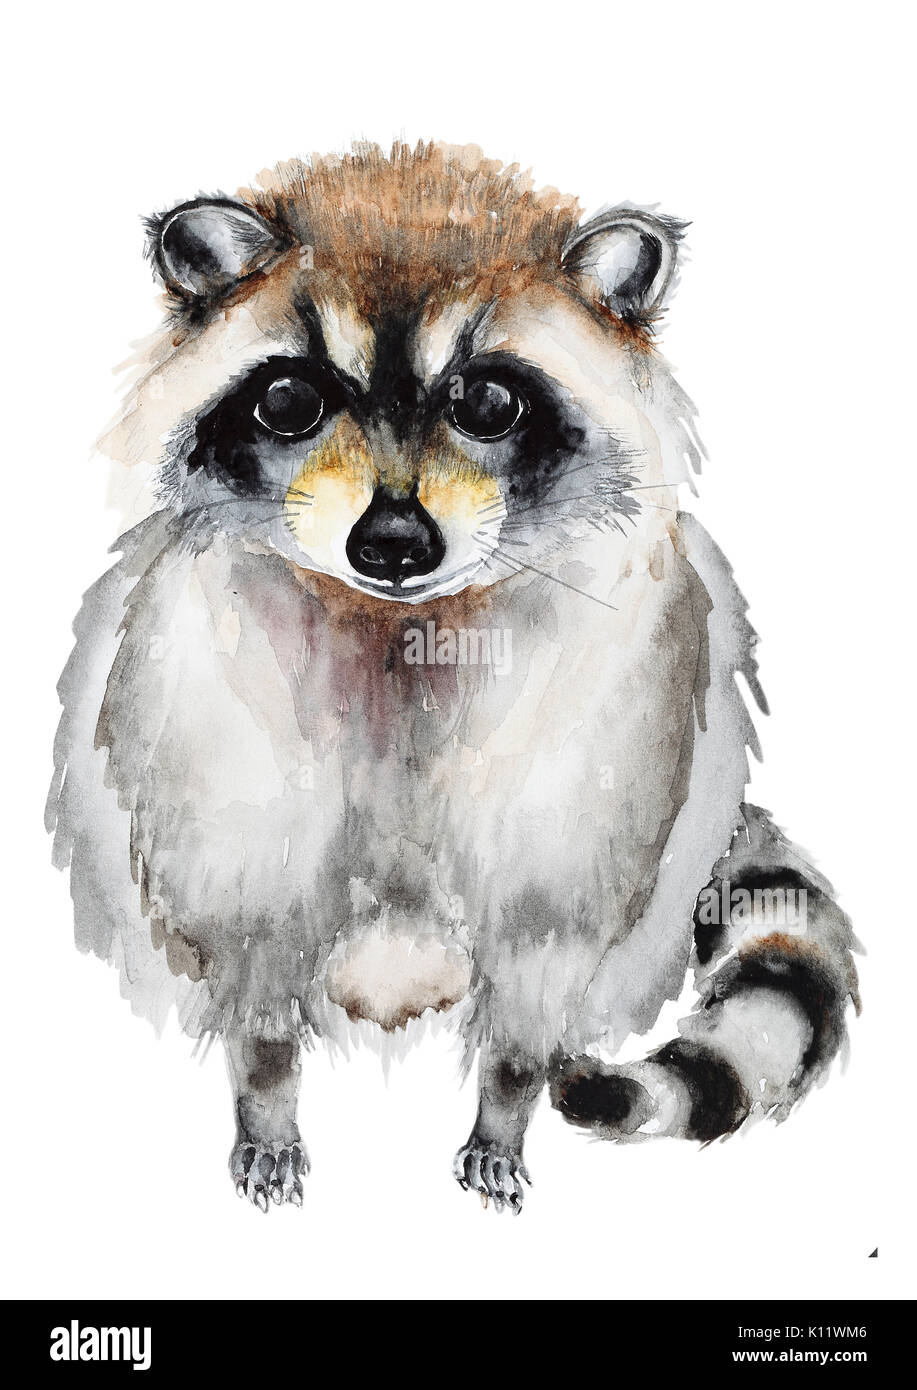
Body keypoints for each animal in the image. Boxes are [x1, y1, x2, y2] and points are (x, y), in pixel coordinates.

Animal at [48, 142, 859, 1213]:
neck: (401, 628)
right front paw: (266, 1104)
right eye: (290, 402)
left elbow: (538, 954)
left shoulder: (601, 749)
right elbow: (254, 954)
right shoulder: (210, 743)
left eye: (487, 403)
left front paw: (505, 1112)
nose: (392, 541)